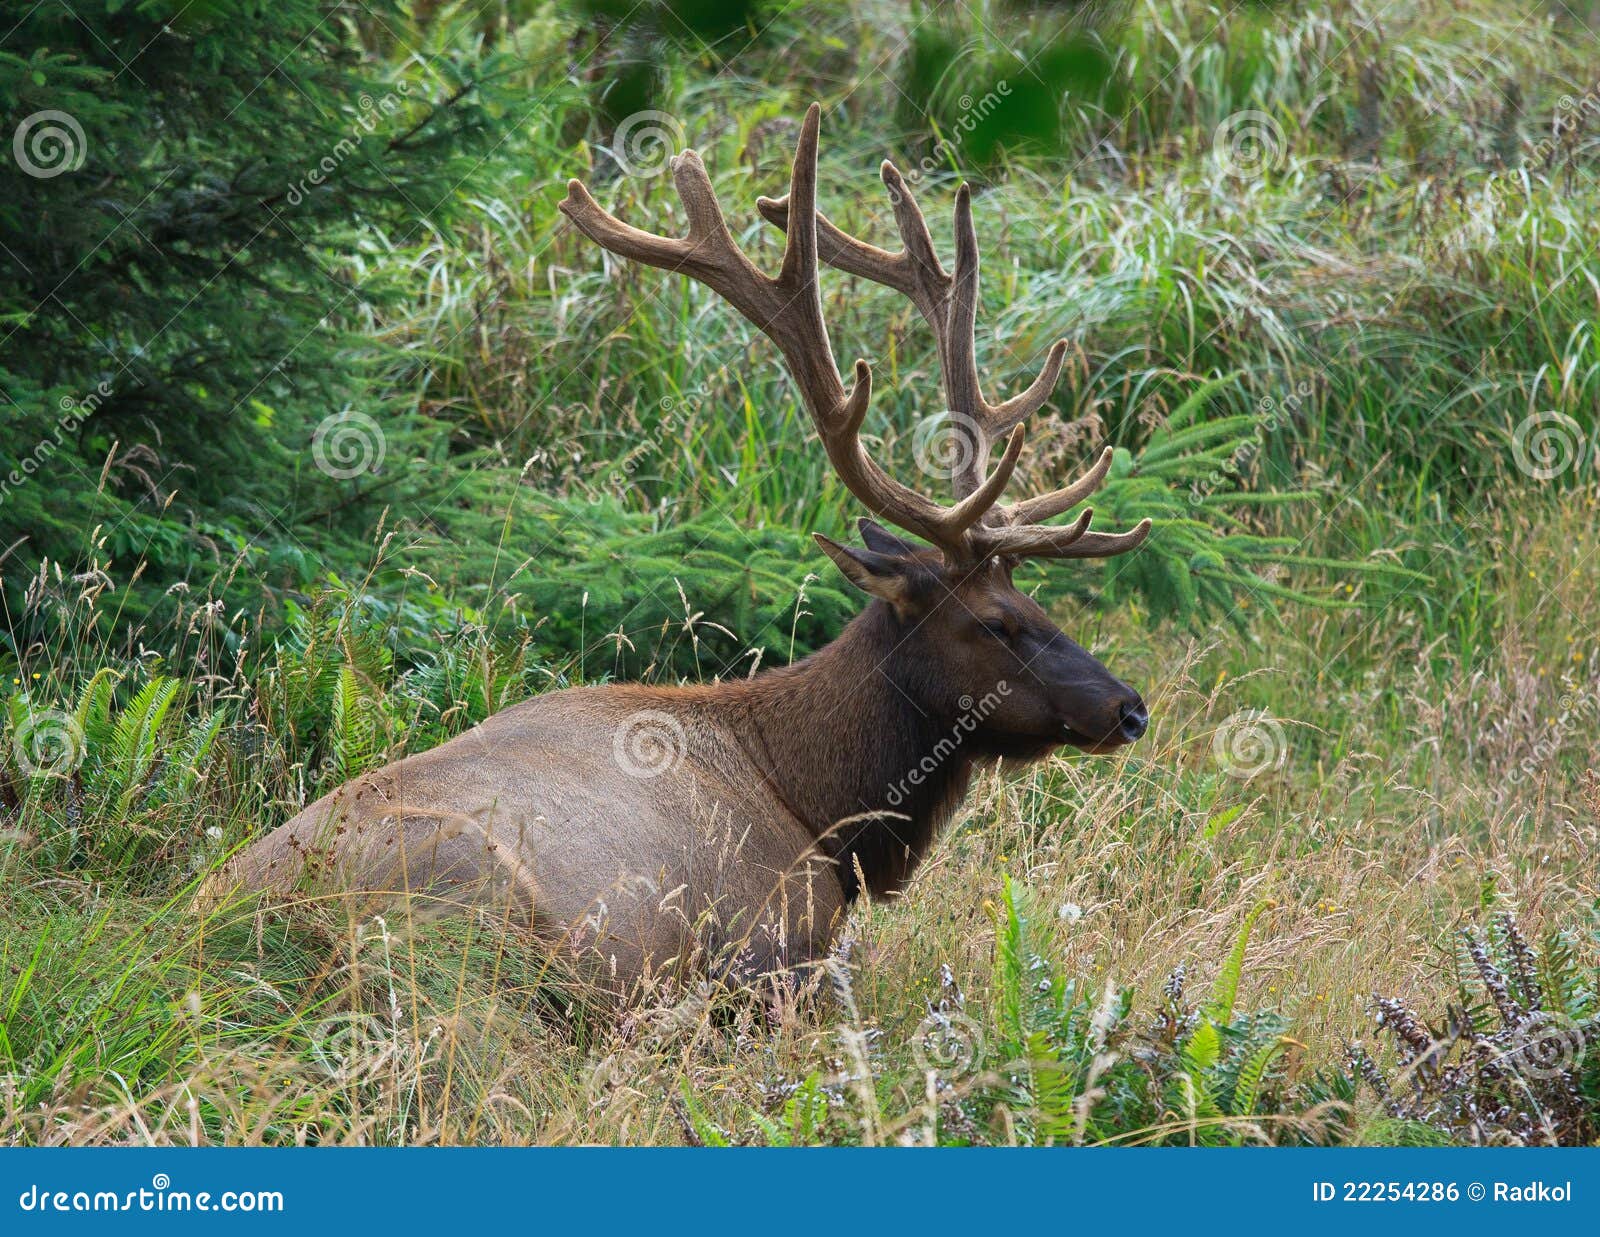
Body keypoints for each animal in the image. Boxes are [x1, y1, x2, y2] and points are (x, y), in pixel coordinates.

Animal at [202, 104, 1152, 1004]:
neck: (817, 801)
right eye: (996, 622)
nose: (1129, 707)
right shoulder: (775, 936)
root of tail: (226, 920)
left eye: (1040, 605)